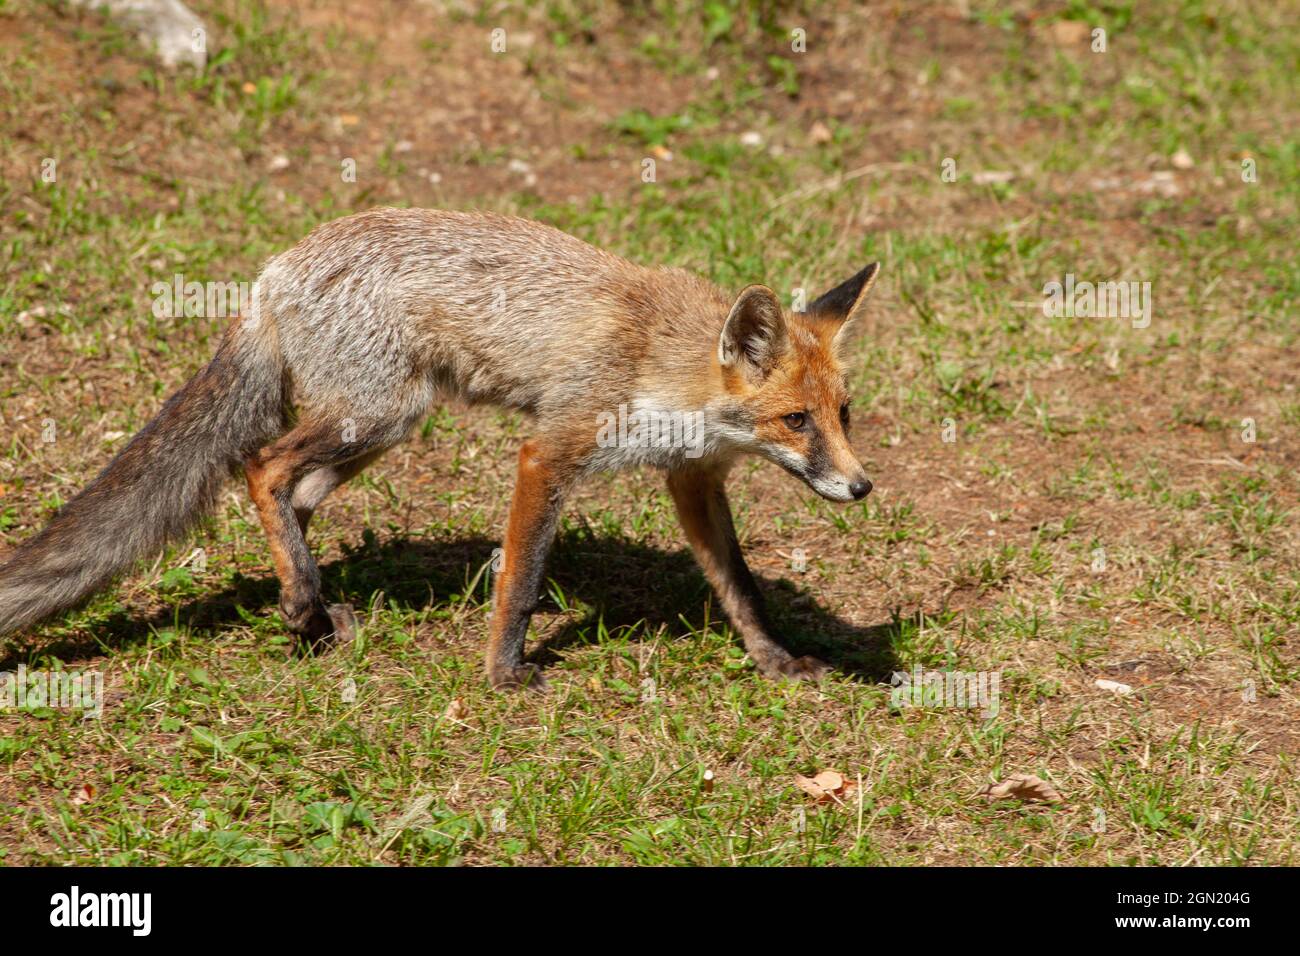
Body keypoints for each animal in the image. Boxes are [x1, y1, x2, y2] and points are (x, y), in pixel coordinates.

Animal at [0, 207, 880, 691]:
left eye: (842, 413)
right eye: (795, 421)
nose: (862, 487)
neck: (664, 364)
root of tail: (275, 269)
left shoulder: (693, 477)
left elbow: (739, 587)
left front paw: (776, 661)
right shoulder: (551, 450)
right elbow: (521, 580)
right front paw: (502, 674)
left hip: (378, 428)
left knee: (295, 497)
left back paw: (309, 606)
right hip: (379, 413)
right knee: (261, 466)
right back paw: (303, 600)